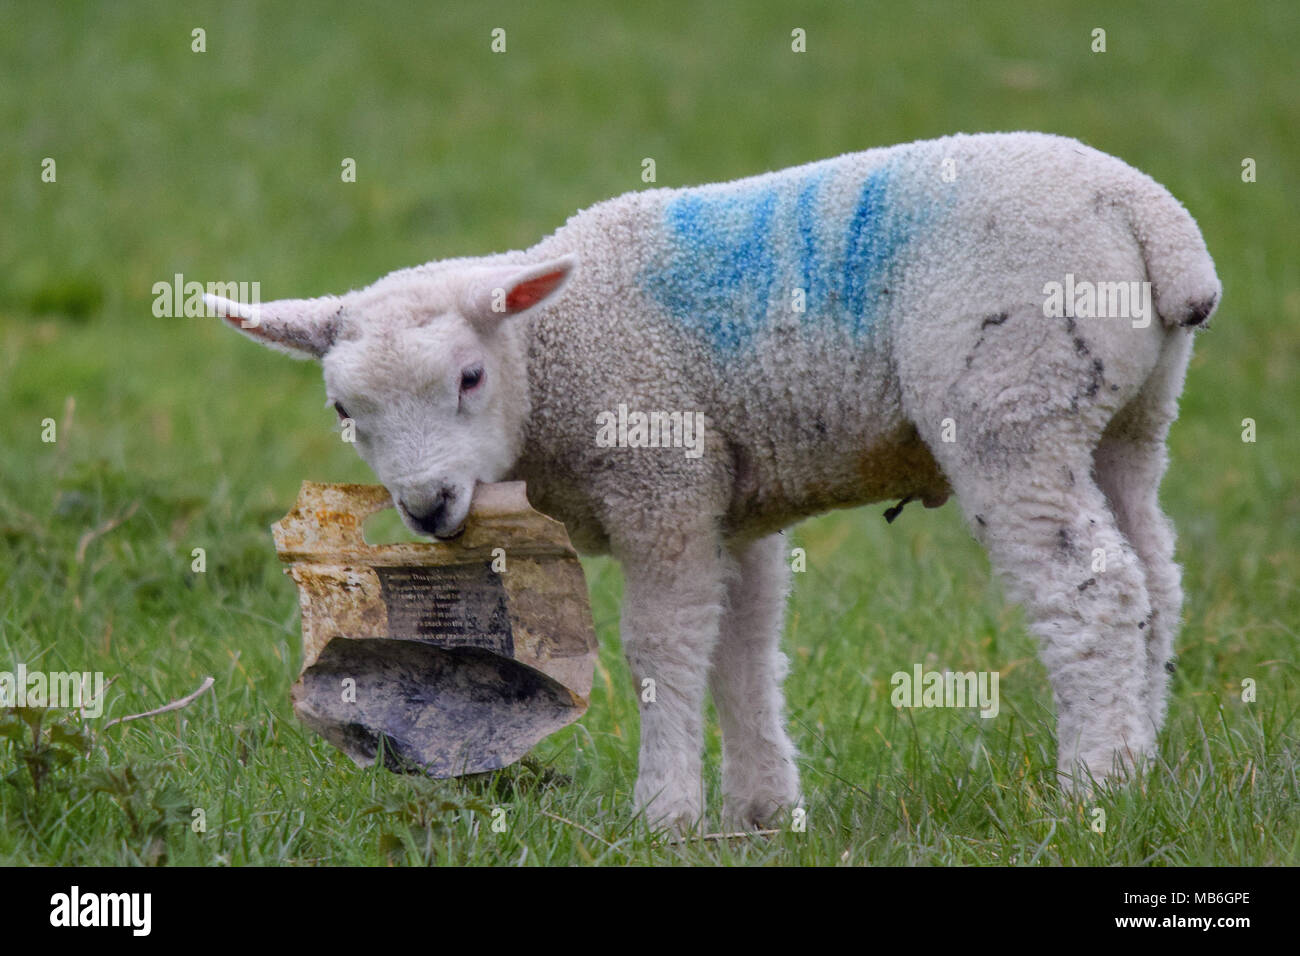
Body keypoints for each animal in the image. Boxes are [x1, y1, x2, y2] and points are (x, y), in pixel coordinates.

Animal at [206, 131, 1221, 832]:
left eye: (469, 377)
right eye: (344, 410)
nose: (427, 508)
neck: (554, 351)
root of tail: (1149, 217)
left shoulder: (662, 480)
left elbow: (665, 650)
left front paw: (665, 813)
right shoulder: (734, 501)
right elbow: (745, 648)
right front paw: (763, 811)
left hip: (1013, 397)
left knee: (1090, 590)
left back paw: (1092, 784)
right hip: (1129, 418)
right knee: (1156, 579)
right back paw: (1143, 765)